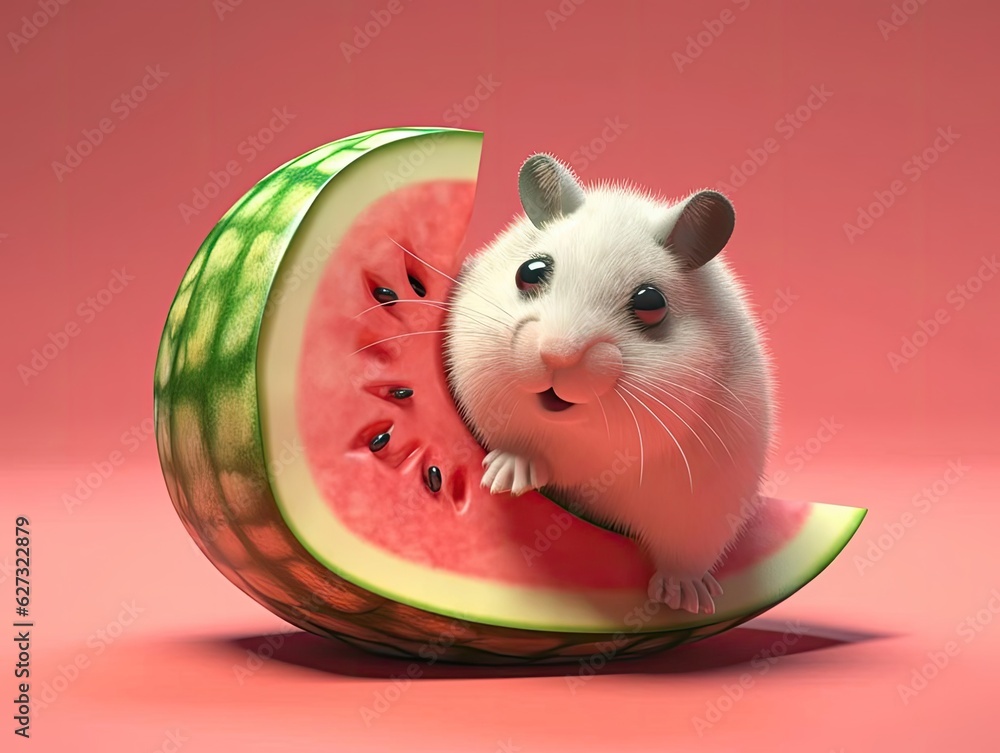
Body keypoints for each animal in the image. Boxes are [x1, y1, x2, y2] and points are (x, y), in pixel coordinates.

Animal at [443, 154, 775, 615]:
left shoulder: (703, 500)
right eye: (530, 272)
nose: (556, 357)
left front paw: (684, 598)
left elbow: (684, 555)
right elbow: (520, 445)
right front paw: (506, 475)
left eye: (651, 302)